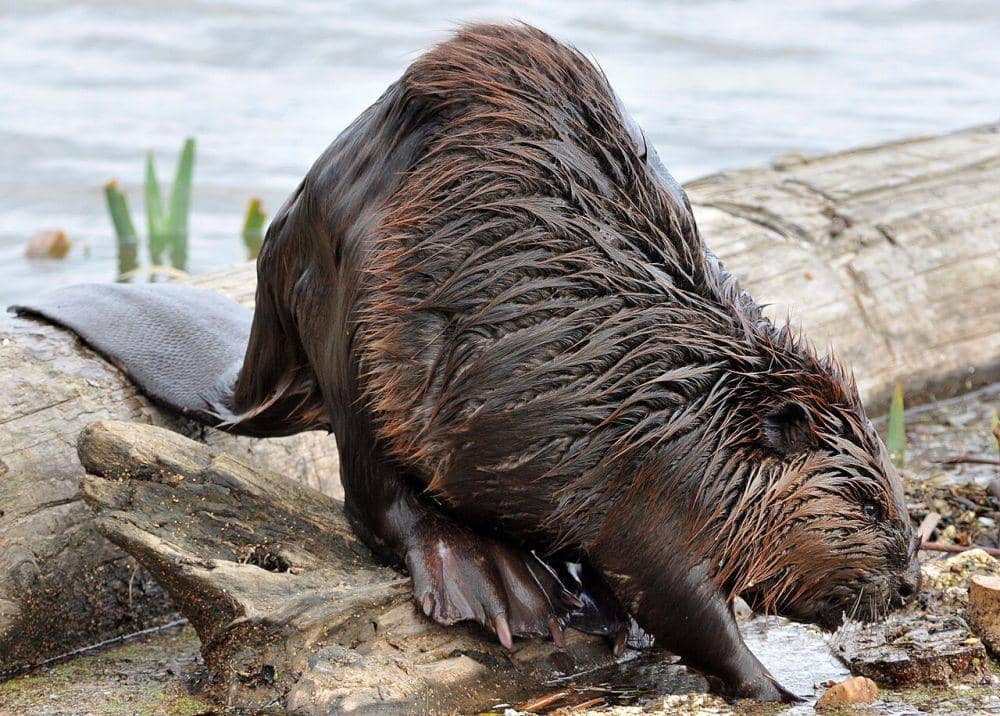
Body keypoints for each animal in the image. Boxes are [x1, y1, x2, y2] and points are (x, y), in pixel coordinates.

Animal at [12, 24, 920, 701]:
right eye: (869, 503)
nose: (910, 584)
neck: (692, 396)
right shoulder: (654, 486)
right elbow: (680, 601)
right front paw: (777, 687)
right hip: (357, 325)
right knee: (376, 496)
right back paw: (495, 579)